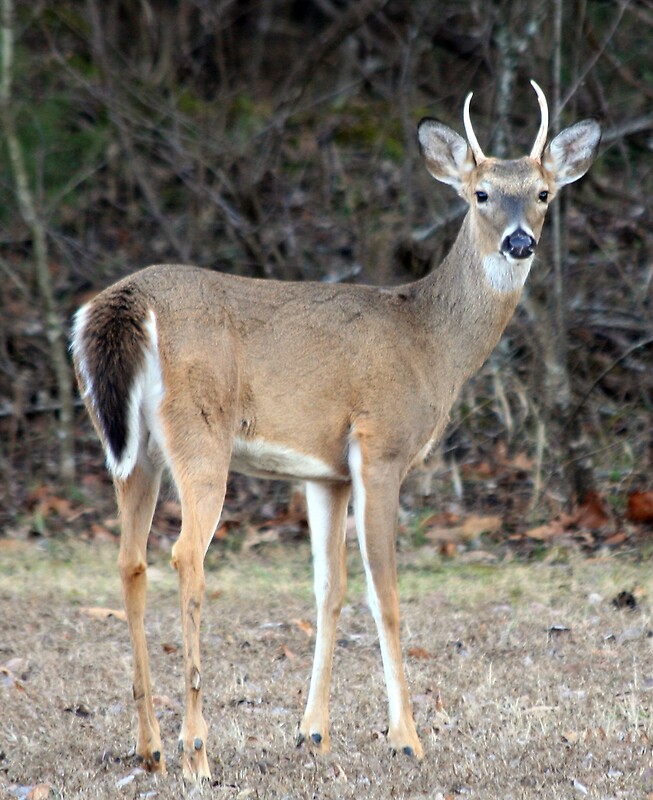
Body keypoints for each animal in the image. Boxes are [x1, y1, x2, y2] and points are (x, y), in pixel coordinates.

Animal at [70, 80, 600, 781]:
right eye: (481, 193)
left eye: (543, 193)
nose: (520, 242)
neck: (430, 343)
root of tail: (123, 305)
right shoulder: (381, 446)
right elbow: (387, 594)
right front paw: (407, 738)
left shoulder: (325, 473)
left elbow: (330, 589)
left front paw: (313, 734)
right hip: (199, 431)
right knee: (186, 555)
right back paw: (197, 753)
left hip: (133, 451)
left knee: (130, 560)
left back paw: (151, 747)